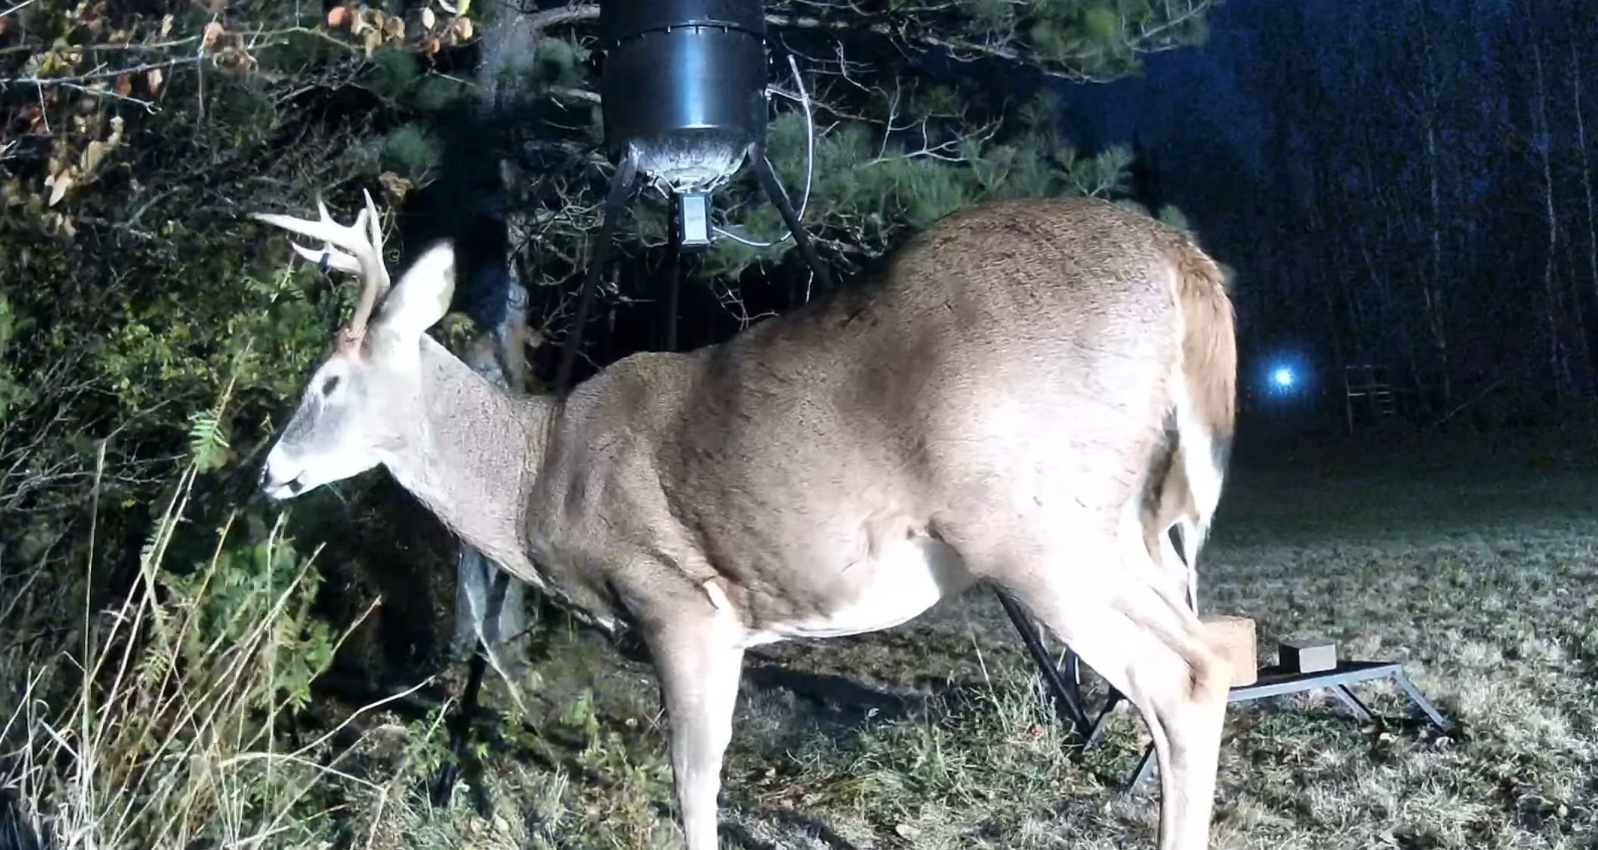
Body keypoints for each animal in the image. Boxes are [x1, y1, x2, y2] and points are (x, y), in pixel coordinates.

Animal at [250, 189, 1239, 850]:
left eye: (325, 383)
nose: (269, 473)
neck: (536, 474)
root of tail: (1186, 266)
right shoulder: (728, 622)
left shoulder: (675, 598)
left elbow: (695, 777)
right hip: (1137, 524)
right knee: (1215, 643)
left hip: (1035, 520)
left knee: (1187, 673)